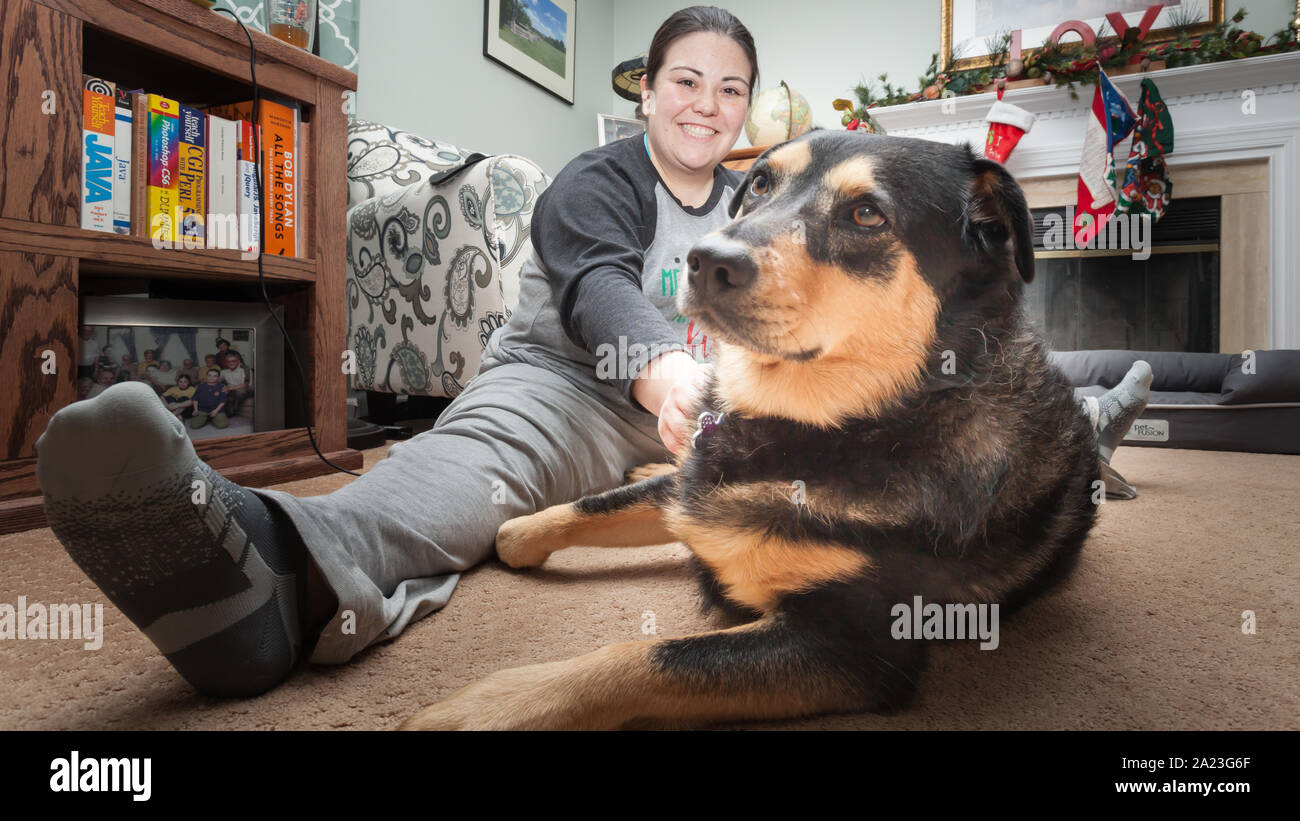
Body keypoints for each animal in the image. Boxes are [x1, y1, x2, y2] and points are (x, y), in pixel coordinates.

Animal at [403, 129, 1097, 732]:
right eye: (761, 183)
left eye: (867, 215)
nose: (706, 260)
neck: (831, 426)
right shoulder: (699, 486)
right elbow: (595, 505)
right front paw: (517, 534)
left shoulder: (854, 647)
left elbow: (646, 658)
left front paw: (492, 707)